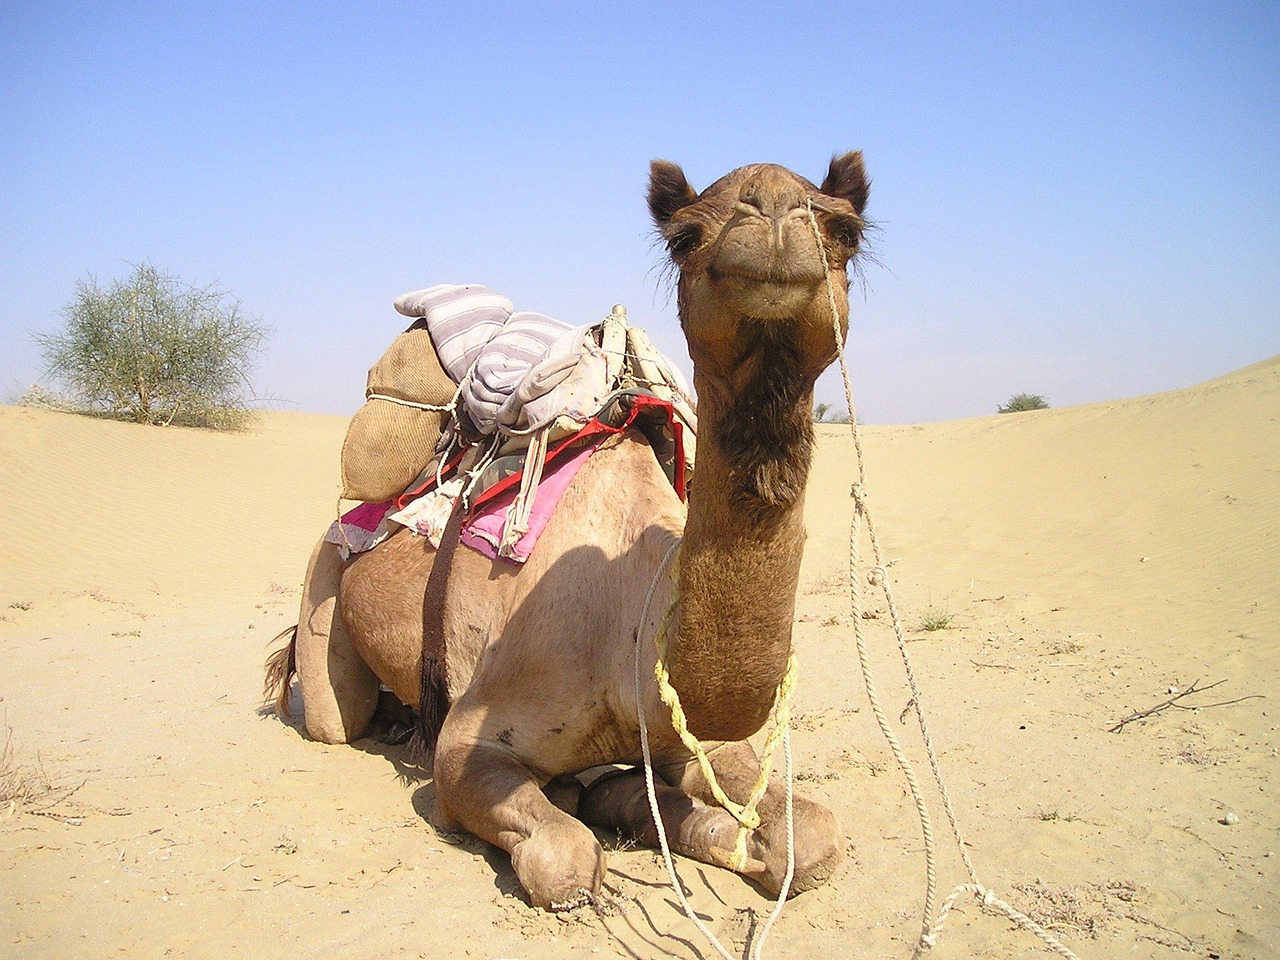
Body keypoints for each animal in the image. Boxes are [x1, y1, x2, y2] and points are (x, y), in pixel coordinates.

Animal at [266, 152, 871, 911]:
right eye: (683, 238)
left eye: (845, 229)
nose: (773, 212)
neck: (627, 625)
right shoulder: (470, 742)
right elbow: (565, 860)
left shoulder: (692, 740)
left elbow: (812, 836)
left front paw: (644, 806)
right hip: (323, 577)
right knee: (335, 717)